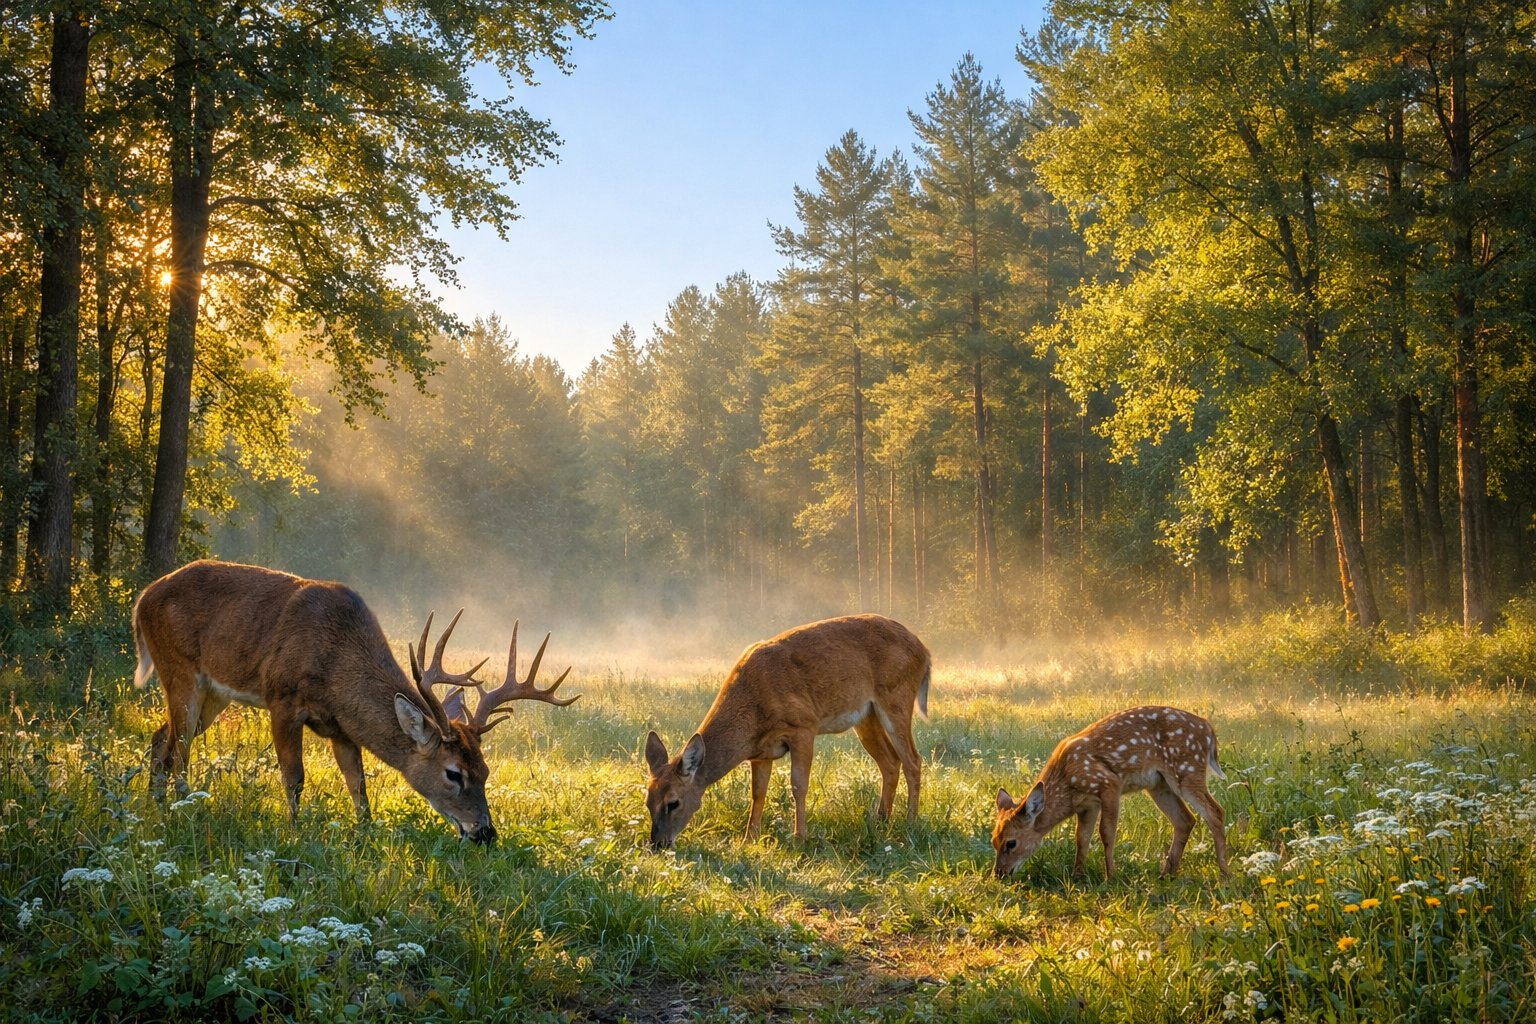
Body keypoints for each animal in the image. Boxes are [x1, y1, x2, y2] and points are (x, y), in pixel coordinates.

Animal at [132, 559, 578, 843]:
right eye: (454, 773)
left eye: (485, 771)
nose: (485, 833)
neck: (336, 667)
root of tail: (141, 599)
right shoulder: (282, 698)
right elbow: (294, 778)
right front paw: (294, 833)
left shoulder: (341, 727)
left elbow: (358, 787)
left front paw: (366, 834)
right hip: (179, 669)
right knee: (180, 749)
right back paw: (181, 806)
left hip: (213, 694)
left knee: (161, 739)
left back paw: (156, 804)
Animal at [644, 613, 930, 850]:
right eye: (647, 801)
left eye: (673, 802)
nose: (658, 844)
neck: (753, 711)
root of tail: (924, 650)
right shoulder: (761, 752)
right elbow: (757, 792)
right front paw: (750, 838)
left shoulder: (803, 726)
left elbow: (799, 785)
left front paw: (799, 837)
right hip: (866, 716)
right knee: (890, 762)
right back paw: (881, 820)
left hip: (896, 697)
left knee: (913, 760)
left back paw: (910, 821)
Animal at [991, 705, 1230, 880]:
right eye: (994, 840)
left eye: (1011, 843)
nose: (999, 874)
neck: (1067, 783)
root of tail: (1208, 729)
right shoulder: (1087, 805)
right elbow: (1081, 838)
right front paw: (1078, 876)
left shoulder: (1109, 784)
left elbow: (1106, 833)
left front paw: (1110, 877)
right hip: (1159, 785)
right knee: (1185, 820)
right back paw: (1166, 875)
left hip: (1187, 769)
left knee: (1215, 812)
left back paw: (1224, 874)